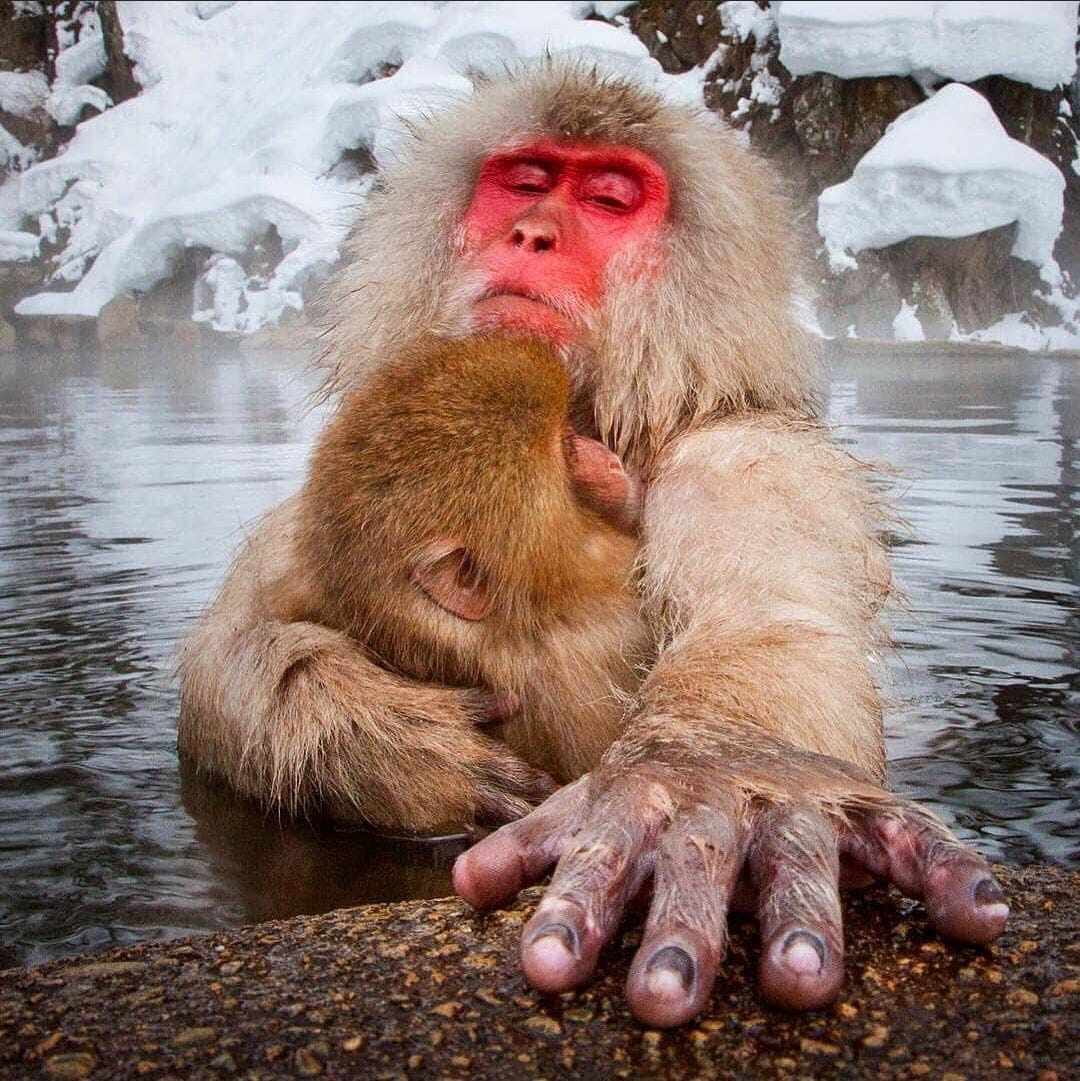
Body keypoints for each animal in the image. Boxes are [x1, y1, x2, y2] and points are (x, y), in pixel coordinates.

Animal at [179, 62, 1008, 1024]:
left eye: (609, 198)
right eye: (526, 181)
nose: (532, 232)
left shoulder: (747, 461)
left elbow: (772, 630)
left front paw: (706, 768)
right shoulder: (311, 512)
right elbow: (220, 665)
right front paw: (386, 745)